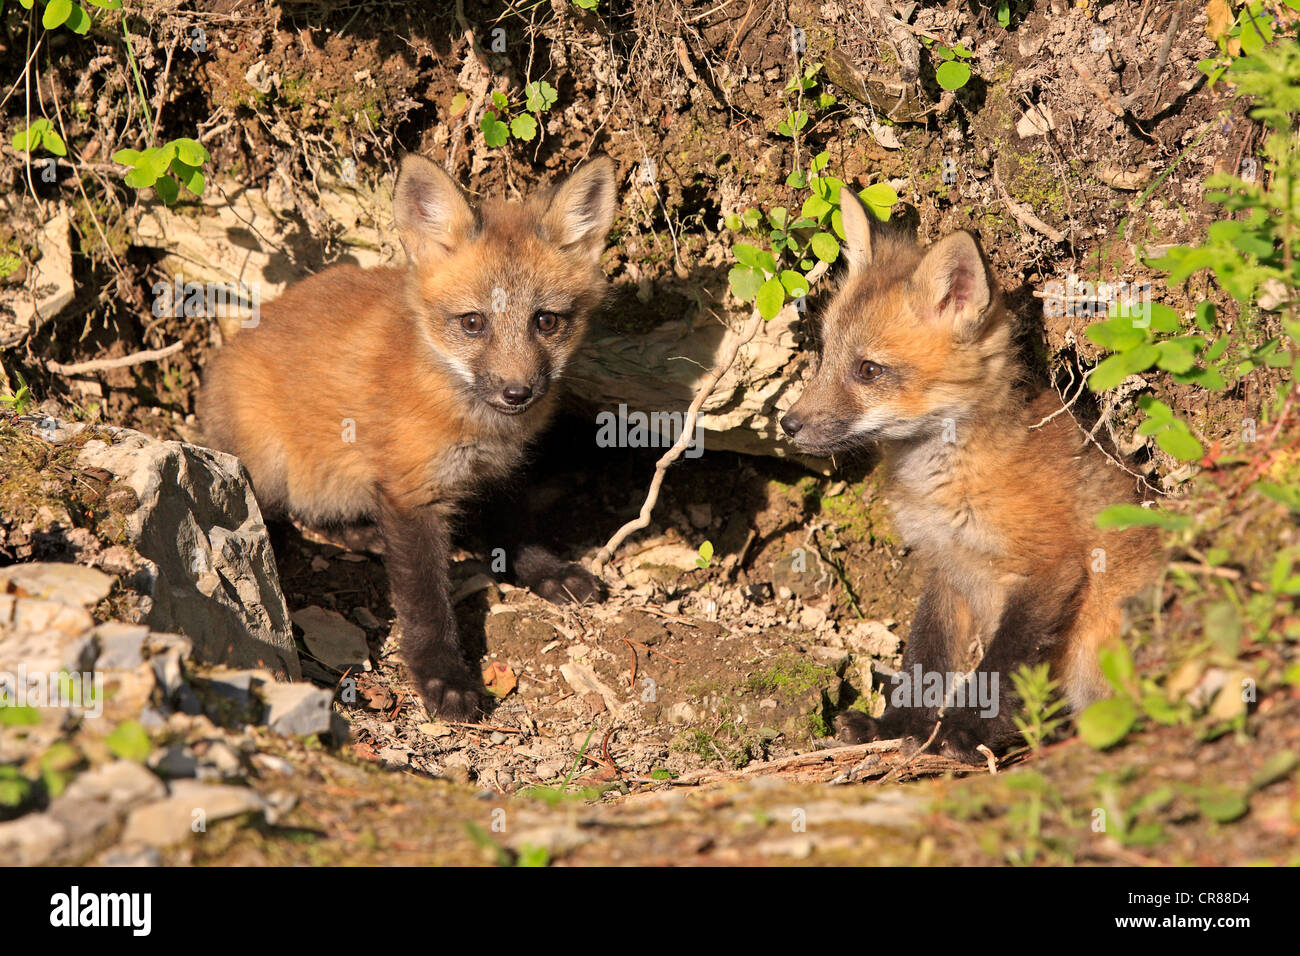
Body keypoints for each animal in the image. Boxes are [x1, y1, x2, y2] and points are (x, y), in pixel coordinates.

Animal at [198, 153, 618, 720]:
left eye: (546, 321)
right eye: (472, 323)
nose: (517, 392)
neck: (476, 424)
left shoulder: (502, 472)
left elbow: (517, 530)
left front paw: (544, 572)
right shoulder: (411, 492)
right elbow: (425, 603)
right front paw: (443, 677)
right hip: (271, 468)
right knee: (287, 519)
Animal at [780, 190, 1160, 763]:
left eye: (869, 371)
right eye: (824, 356)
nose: (788, 424)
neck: (949, 481)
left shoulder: (1049, 568)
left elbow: (1000, 668)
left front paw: (963, 733)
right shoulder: (945, 566)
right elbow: (923, 657)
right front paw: (895, 726)